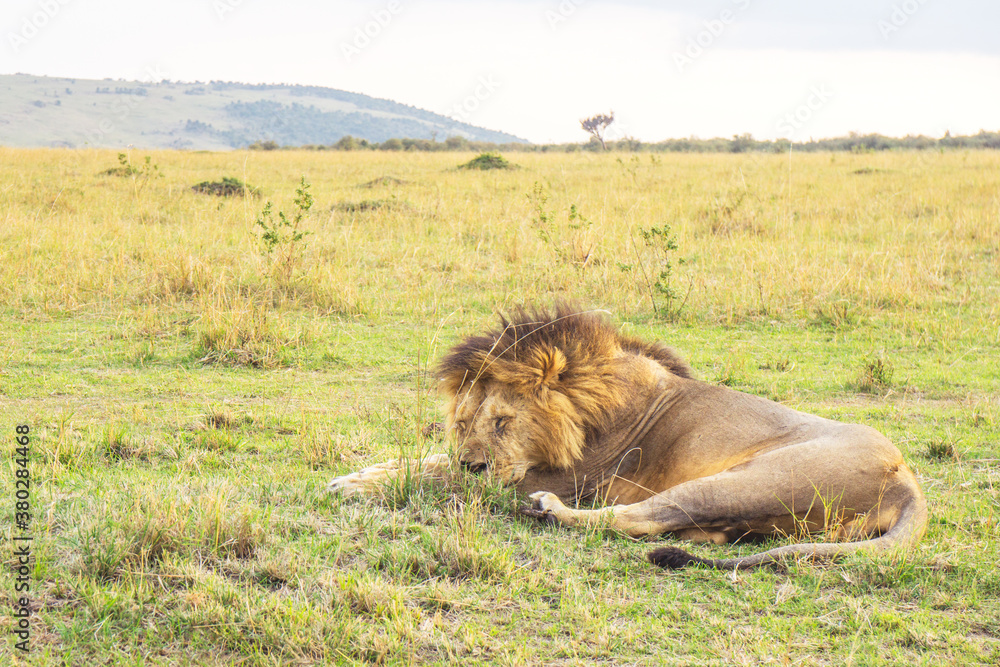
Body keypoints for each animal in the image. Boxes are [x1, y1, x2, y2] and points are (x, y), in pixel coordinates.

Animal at [328, 306, 927, 570]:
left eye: (502, 422)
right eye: (462, 423)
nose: (474, 462)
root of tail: (908, 481)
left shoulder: (567, 476)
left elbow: (434, 476)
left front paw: (358, 486)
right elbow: (427, 460)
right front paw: (359, 475)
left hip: (749, 479)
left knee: (641, 517)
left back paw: (546, 512)